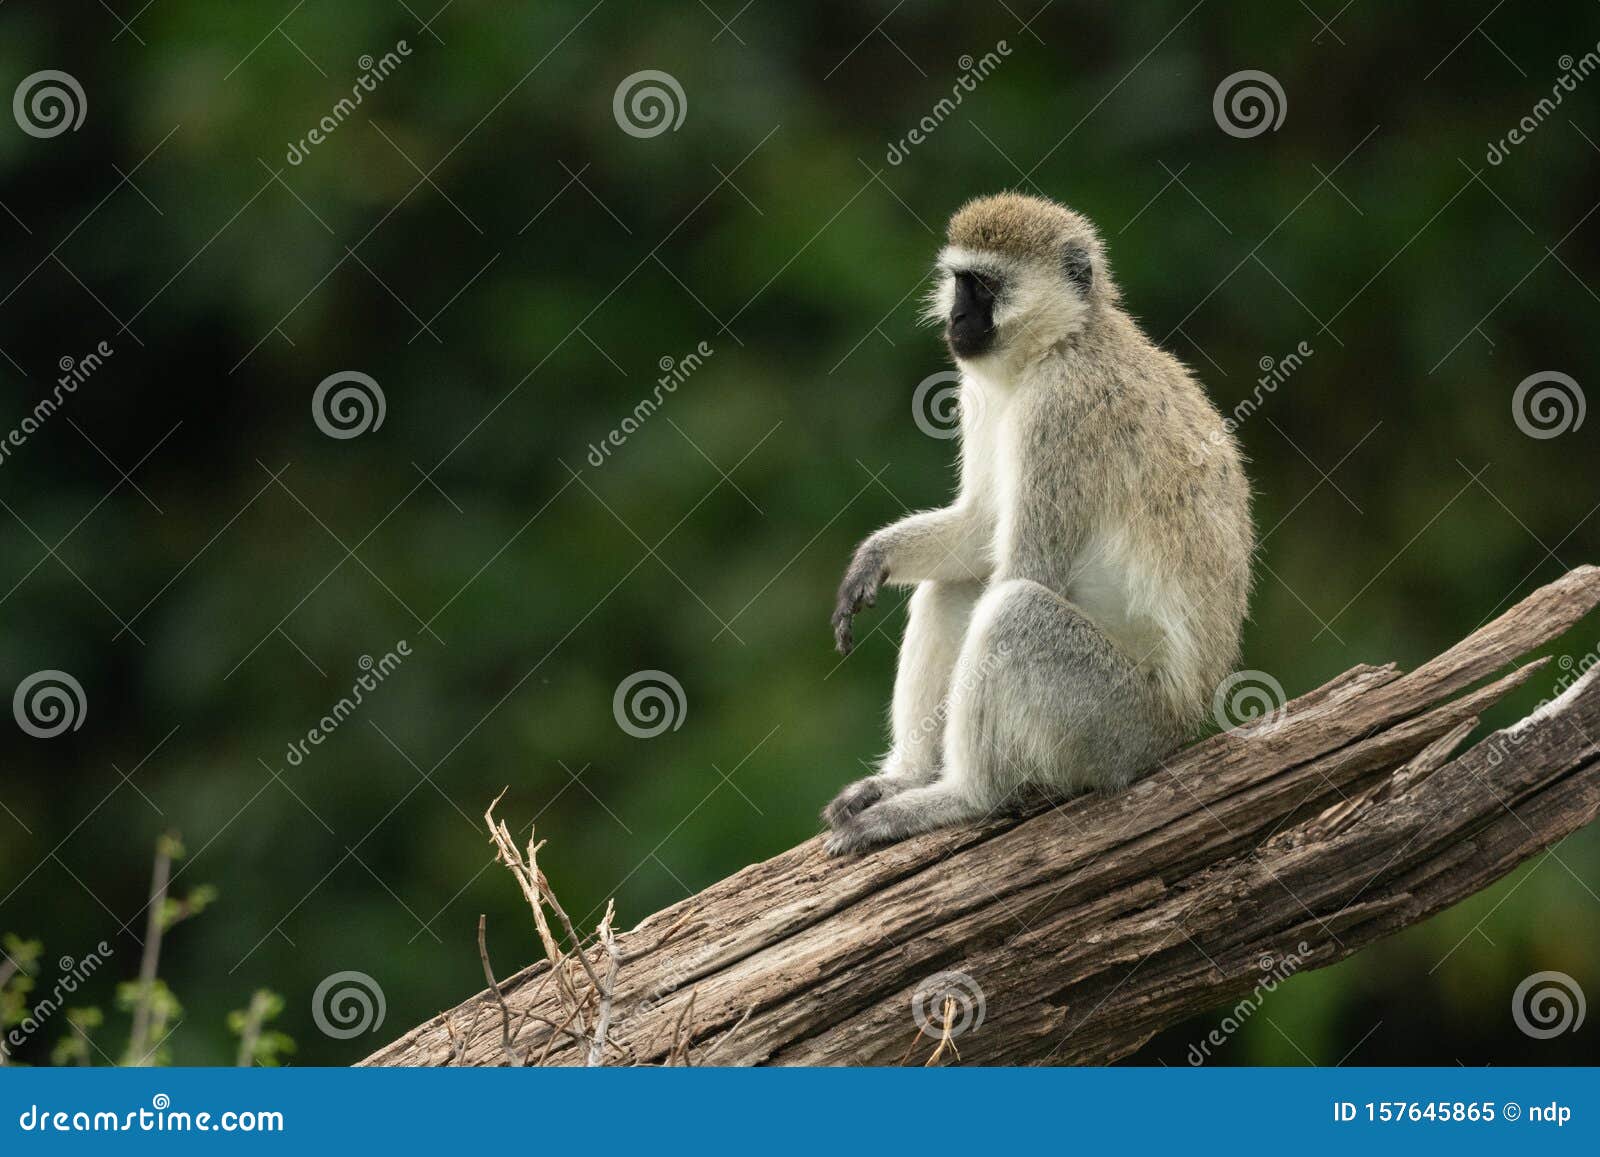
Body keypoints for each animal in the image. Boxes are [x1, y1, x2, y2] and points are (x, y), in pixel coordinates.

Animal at [824, 192, 1253, 856]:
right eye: (959, 282)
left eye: (985, 286)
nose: (956, 318)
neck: (1061, 345)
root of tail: (1182, 724)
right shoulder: (979, 392)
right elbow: (980, 531)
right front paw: (874, 556)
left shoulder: (1061, 411)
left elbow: (1026, 569)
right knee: (952, 589)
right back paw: (908, 777)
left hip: (1118, 724)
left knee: (1012, 610)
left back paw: (961, 797)